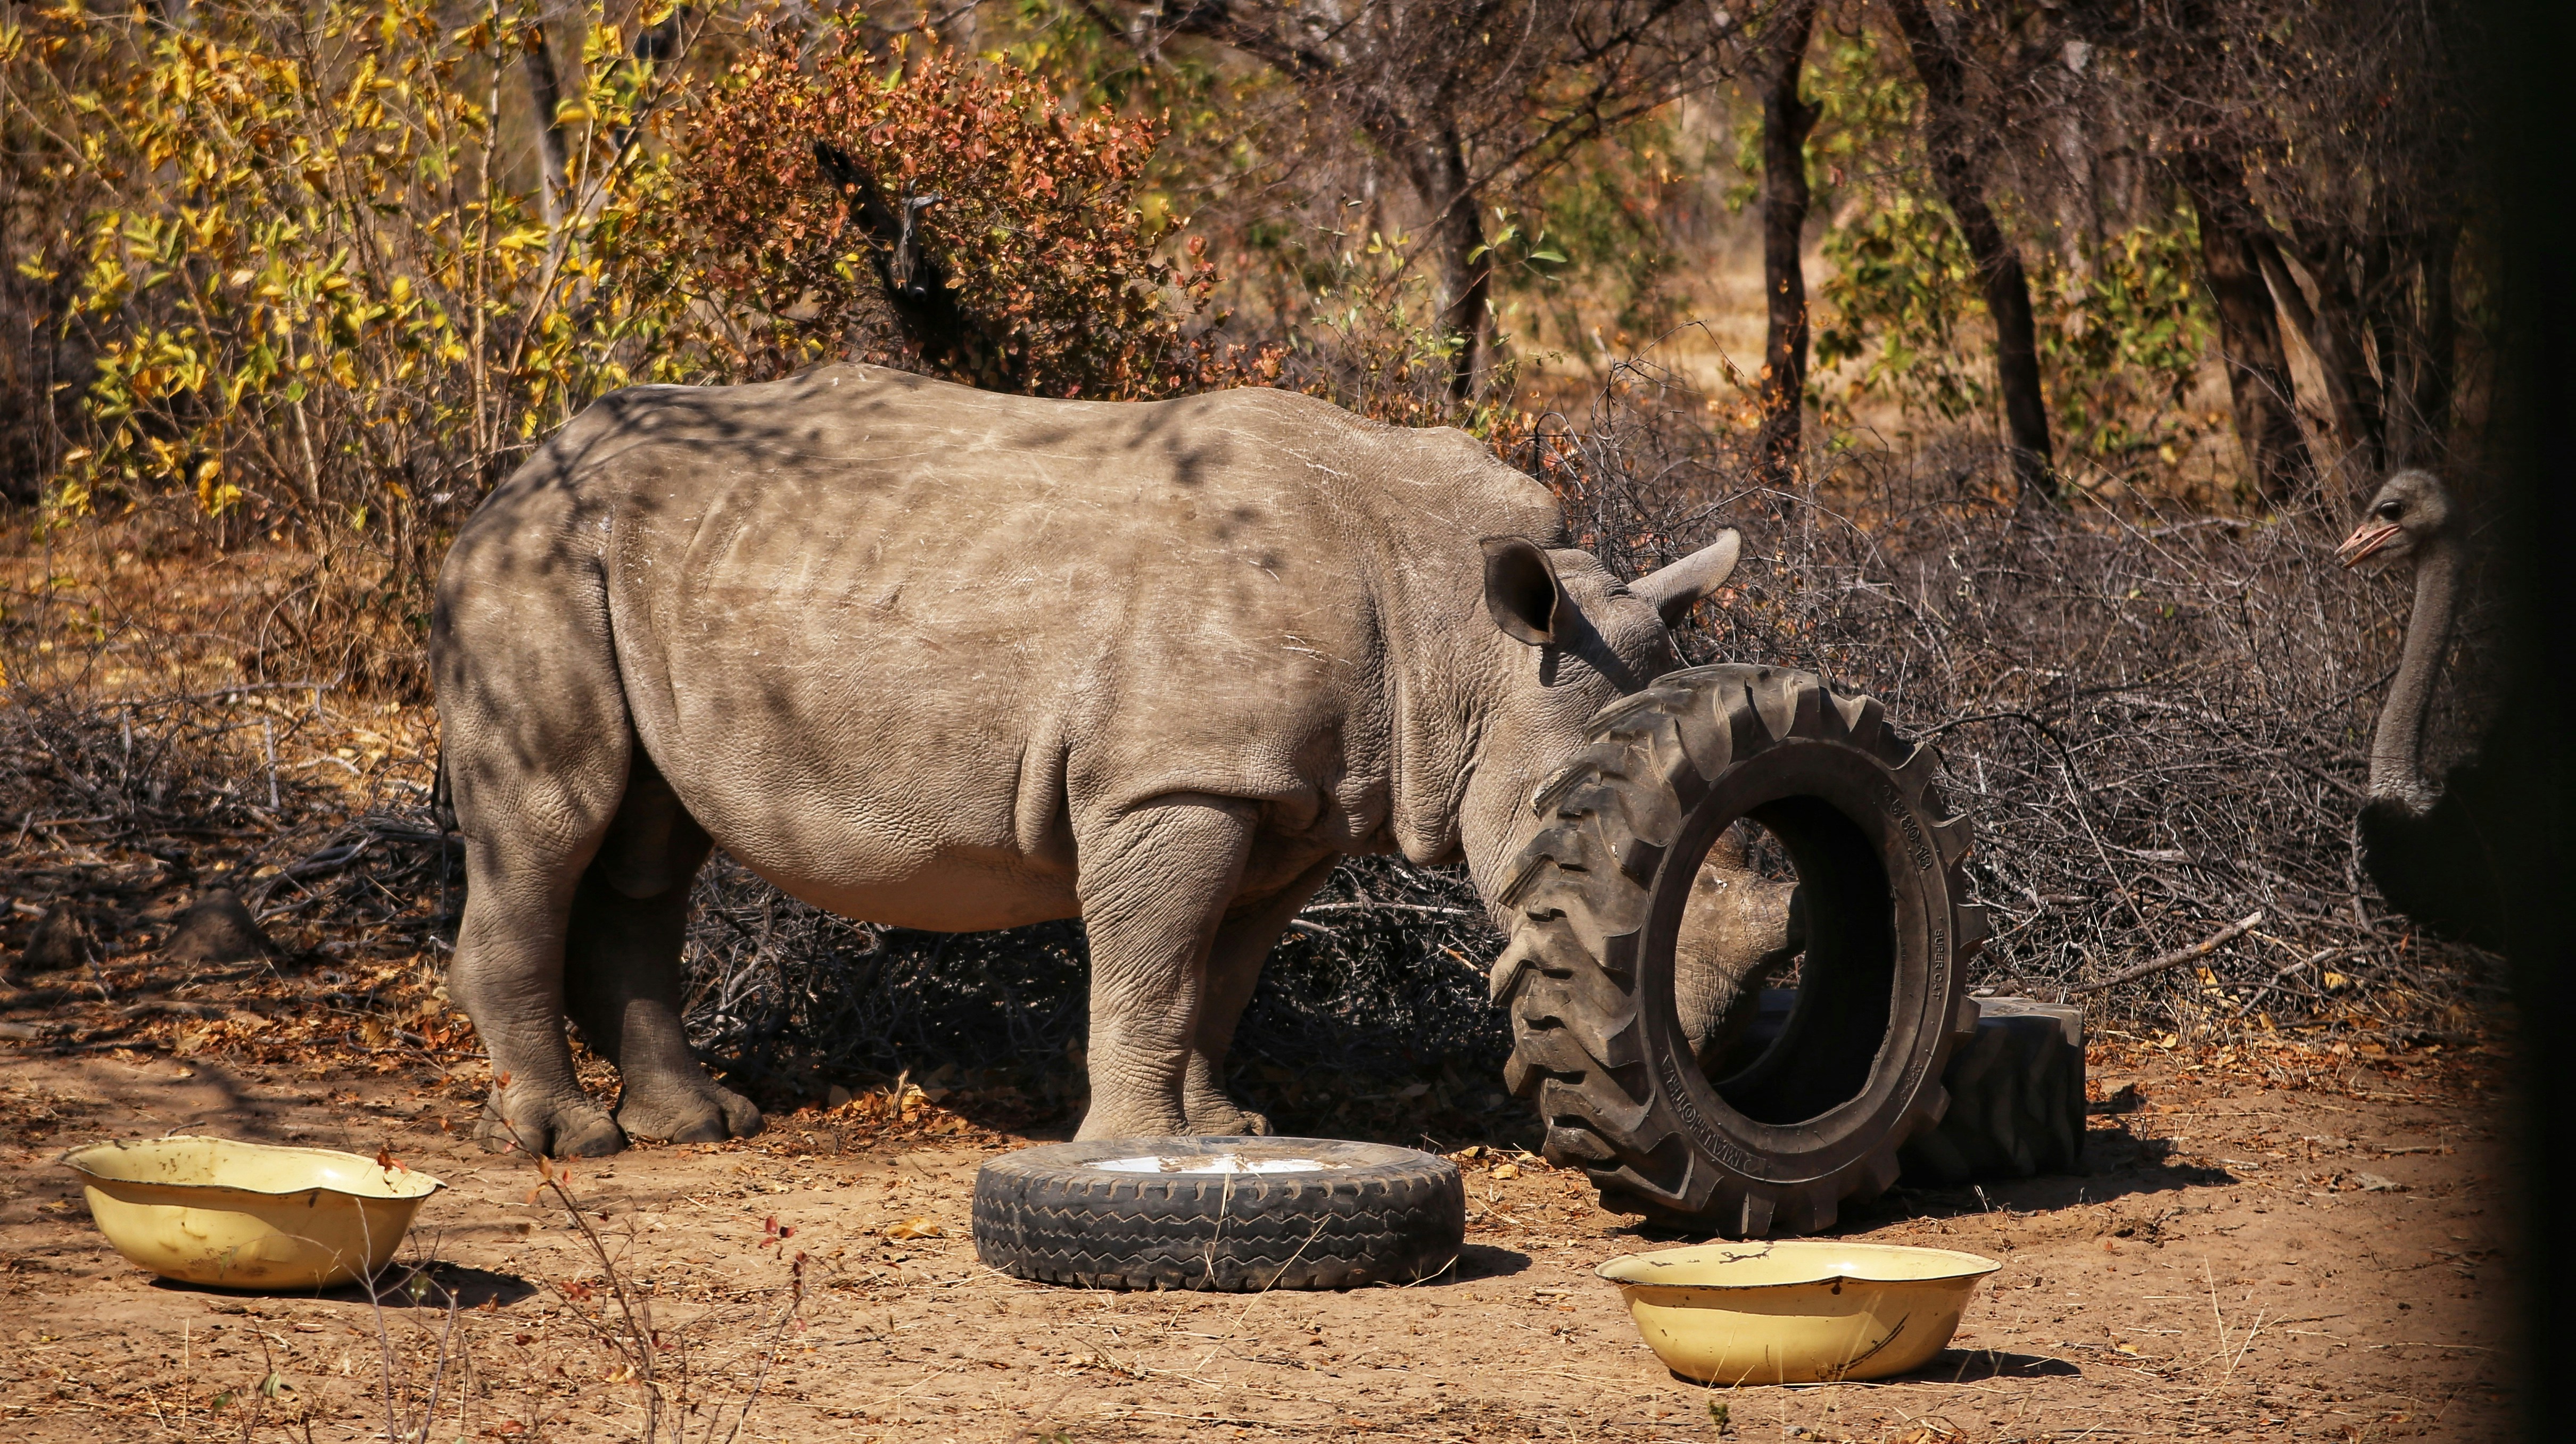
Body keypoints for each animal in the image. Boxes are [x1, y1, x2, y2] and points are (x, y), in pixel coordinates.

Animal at [431, 365, 1742, 1155]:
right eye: (1575, 822)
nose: (1703, 1034)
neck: (1458, 632)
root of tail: (511, 468)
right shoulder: (1177, 776)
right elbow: (1156, 960)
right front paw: (1136, 1148)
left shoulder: (1283, 798)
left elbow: (1222, 972)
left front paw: (1227, 1133)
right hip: (538, 562)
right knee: (555, 821)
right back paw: (566, 1139)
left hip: (632, 568)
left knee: (651, 842)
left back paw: (700, 1124)